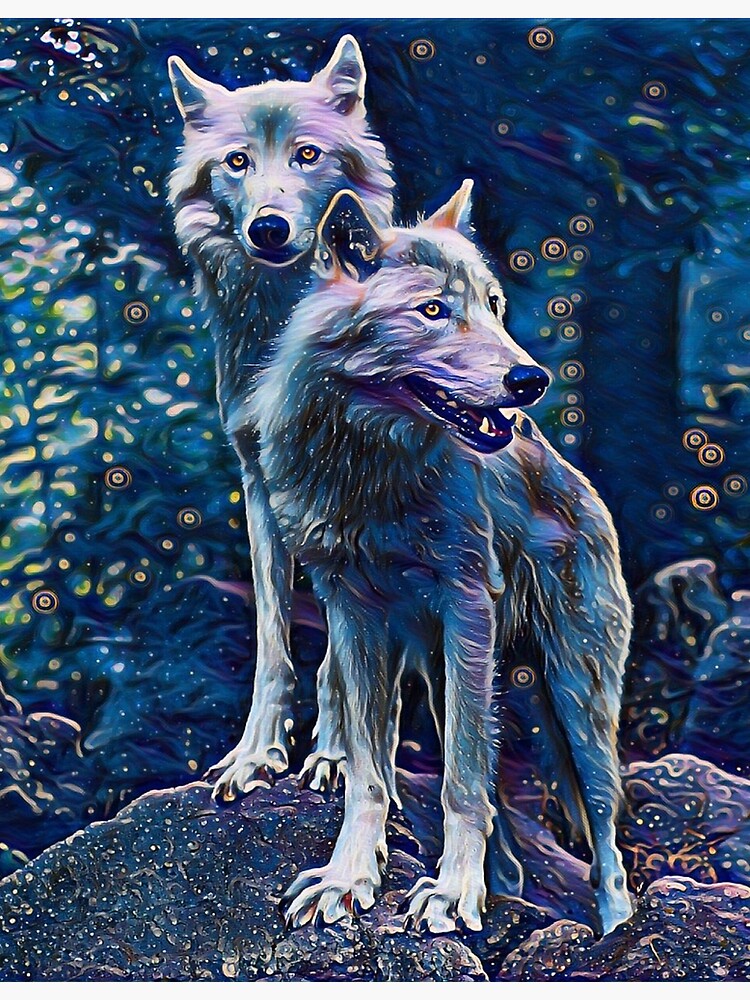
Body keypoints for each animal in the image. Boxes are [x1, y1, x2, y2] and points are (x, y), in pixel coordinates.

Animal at [167, 37, 394, 799]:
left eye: (307, 155)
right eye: (238, 161)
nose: (268, 227)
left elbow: (342, 658)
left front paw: (336, 758)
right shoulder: (260, 487)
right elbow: (273, 637)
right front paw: (253, 757)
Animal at [252, 182, 634, 936]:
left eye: (494, 305)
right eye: (433, 311)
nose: (531, 380)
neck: (371, 471)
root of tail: (571, 477)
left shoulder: (467, 607)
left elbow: (461, 779)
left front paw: (452, 894)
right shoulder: (352, 614)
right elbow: (369, 769)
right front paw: (348, 879)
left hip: (575, 698)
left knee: (605, 834)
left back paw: (616, 932)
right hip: (442, 674)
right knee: (506, 822)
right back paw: (507, 890)